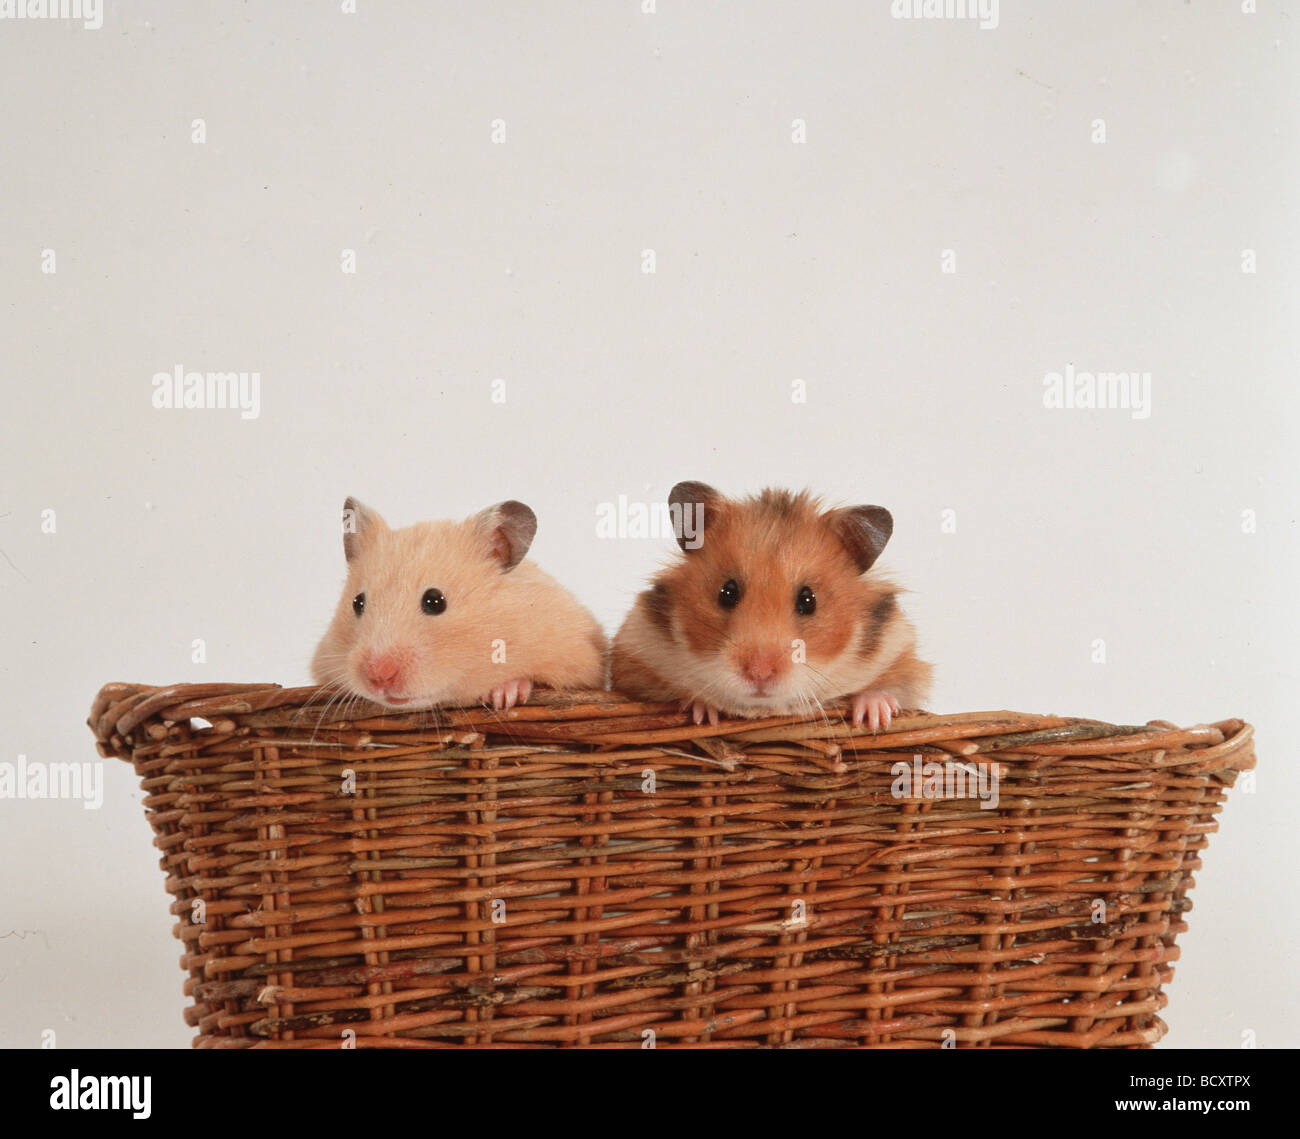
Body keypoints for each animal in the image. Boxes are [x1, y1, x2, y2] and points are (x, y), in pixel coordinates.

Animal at [610, 481, 932, 730]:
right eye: (727, 592)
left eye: (808, 600)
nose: (759, 674)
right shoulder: (634, 658)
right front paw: (703, 713)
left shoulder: (899, 652)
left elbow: (889, 687)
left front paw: (875, 716)